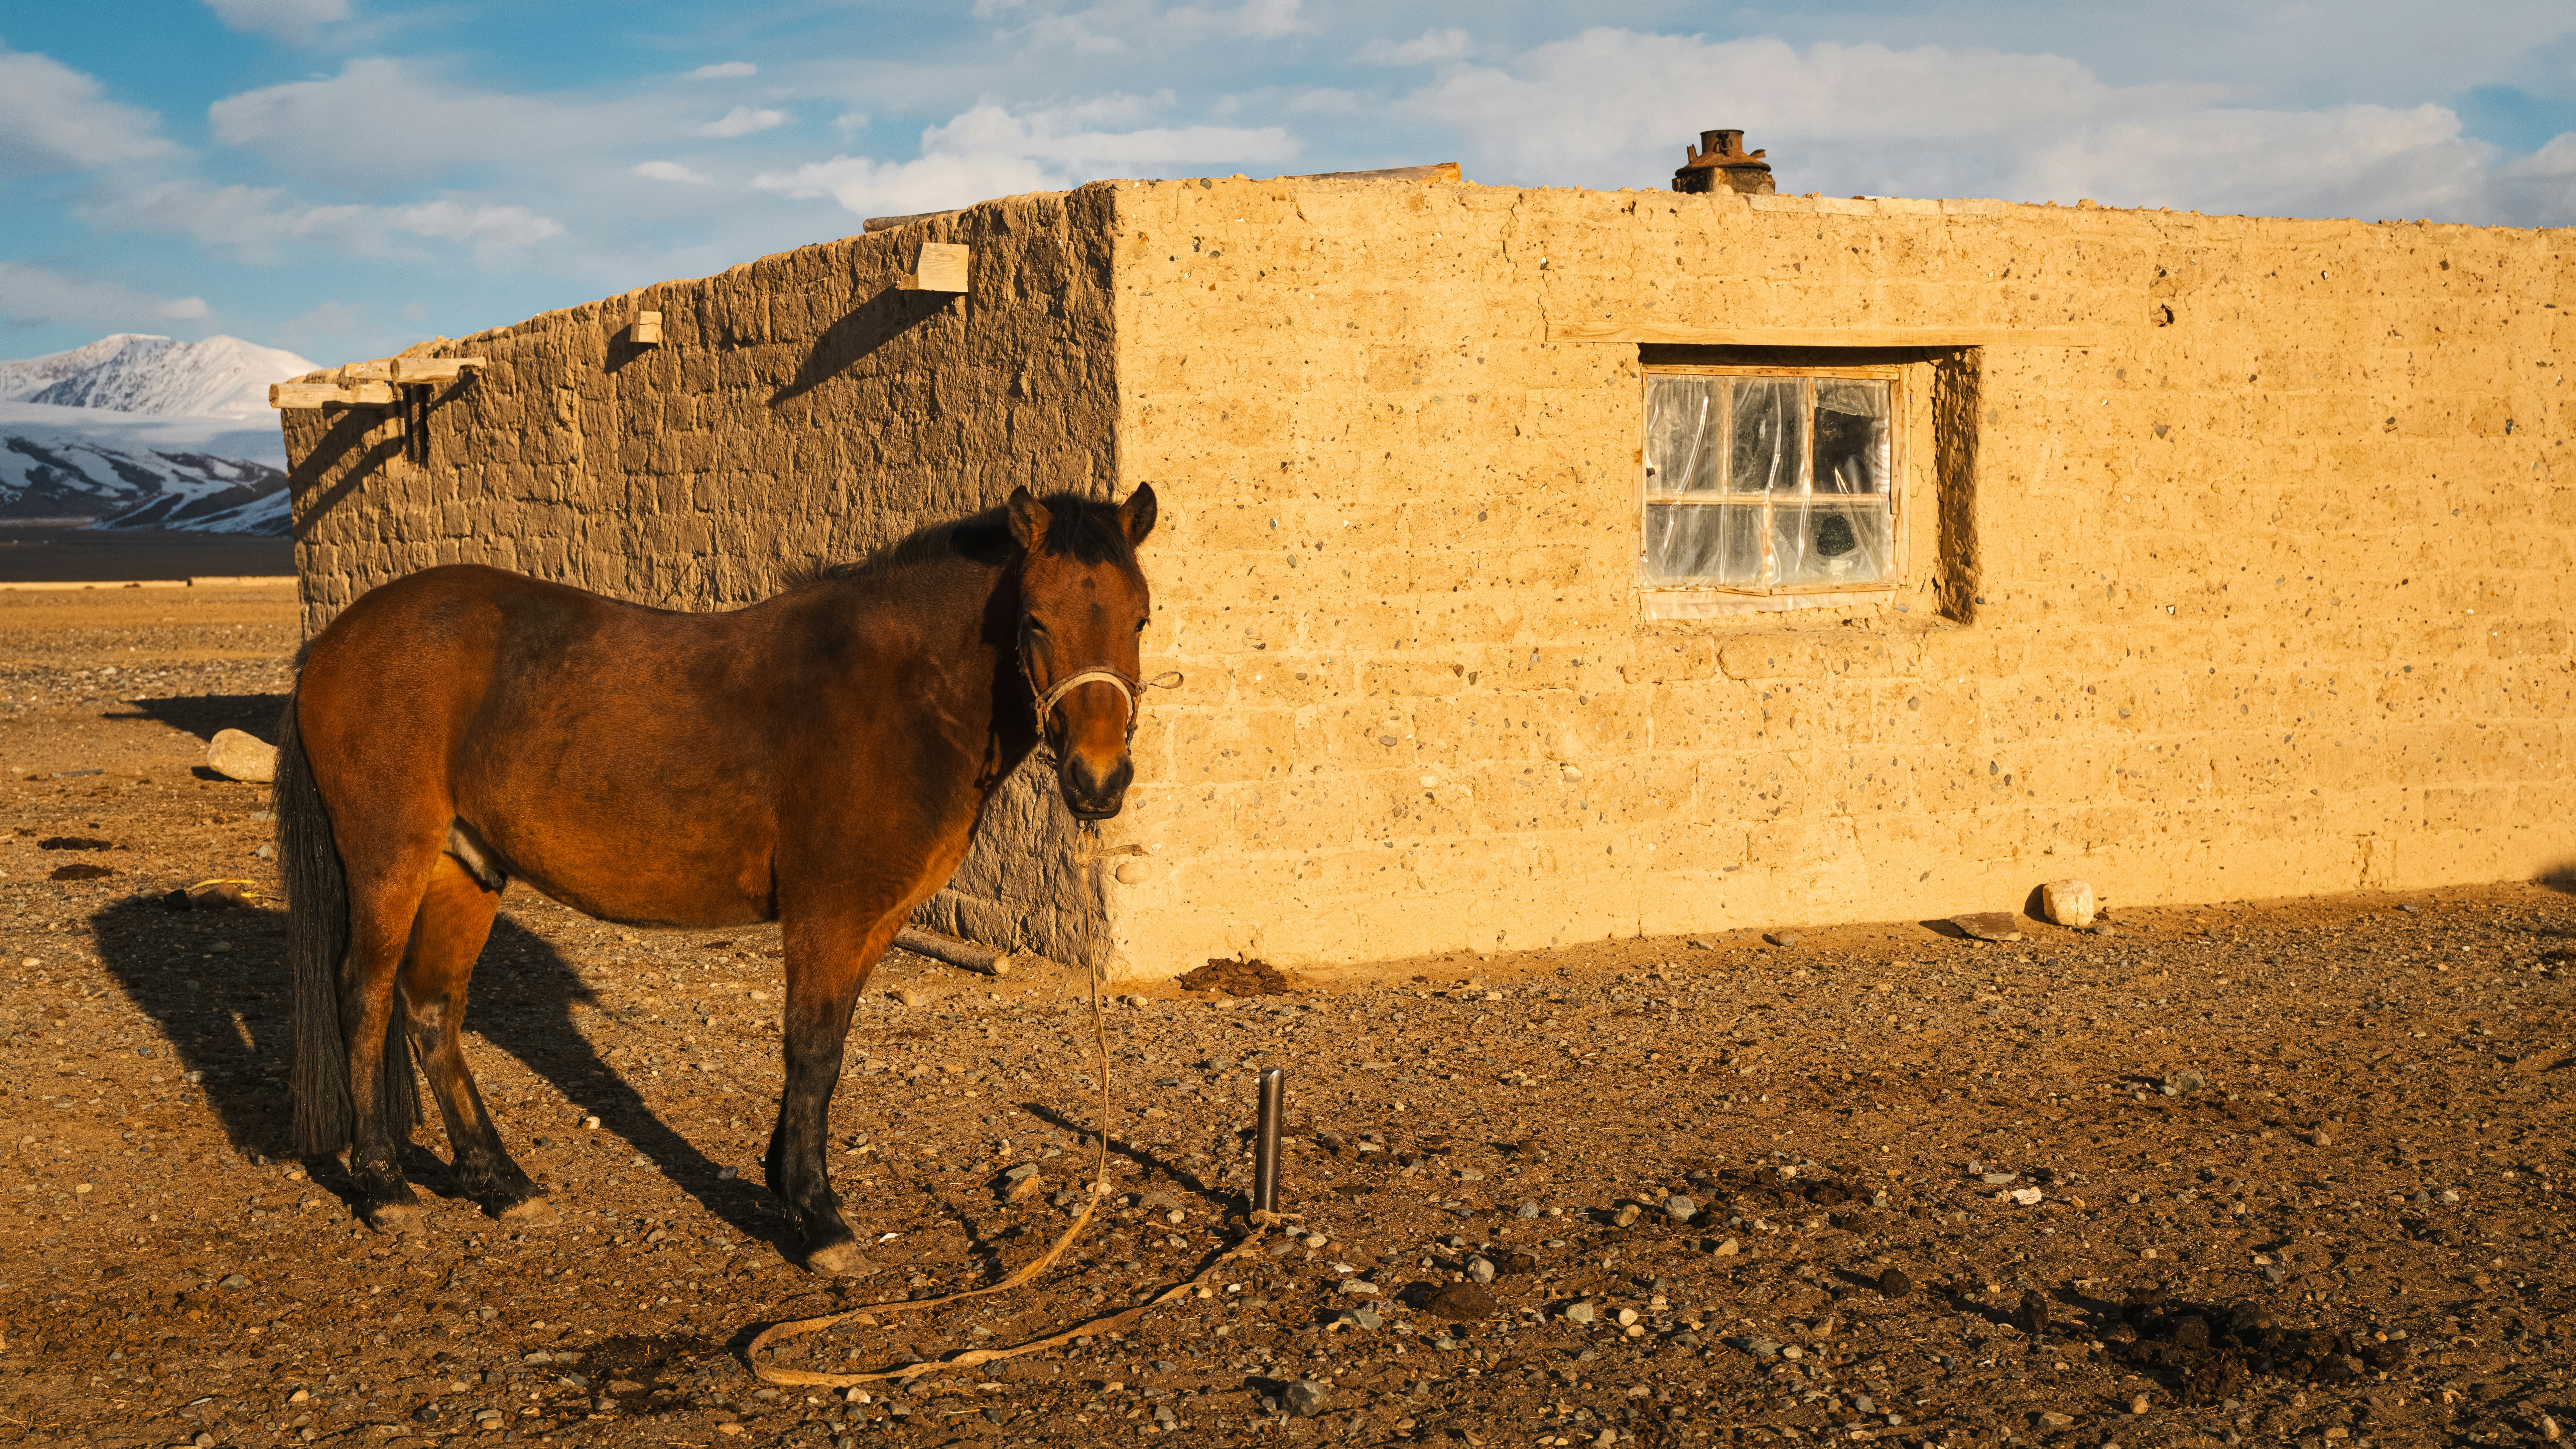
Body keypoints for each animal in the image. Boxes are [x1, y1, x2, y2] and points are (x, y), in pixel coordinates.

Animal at [278, 485, 1158, 1276]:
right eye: (1035, 618)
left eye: (1140, 617)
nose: (1098, 782)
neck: (895, 692)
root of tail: (336, 638)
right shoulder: (826, 914)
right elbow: (812, 1051)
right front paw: (817, 1218)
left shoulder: (873, 921)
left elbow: (828, 1048)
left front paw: (787, 1185)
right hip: (389, 857)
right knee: (364, 996)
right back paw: (385, 1186)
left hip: (465, 868)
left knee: (432, 1009)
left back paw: (500, 1182)